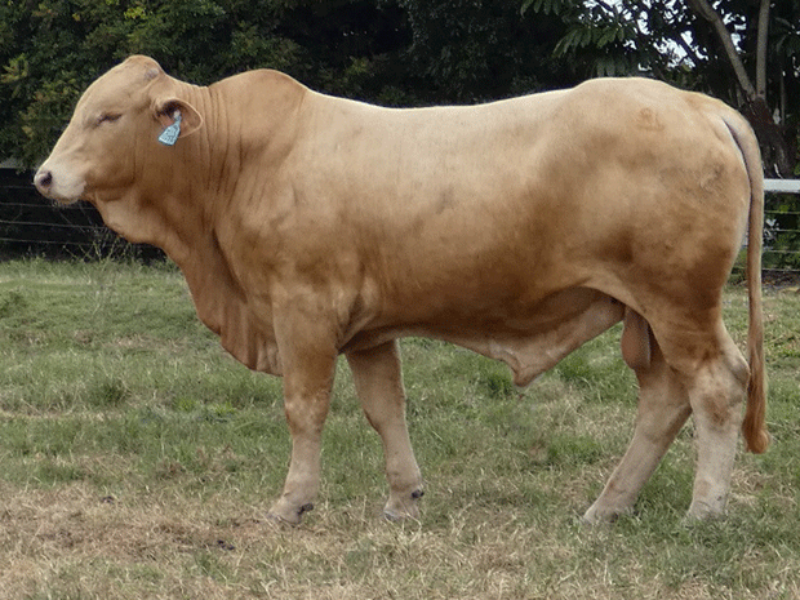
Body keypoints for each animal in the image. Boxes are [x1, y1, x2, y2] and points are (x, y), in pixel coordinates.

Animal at [35, 55, 767, 525]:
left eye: (107, 116)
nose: (44, 176)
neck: (236, 162)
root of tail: (695, 103)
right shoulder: (368, 329)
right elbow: (385, 410)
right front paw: (401, 500)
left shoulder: (303, 309)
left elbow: (305, 409)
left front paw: (292, 503)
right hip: (648, 314)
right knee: (665, 399)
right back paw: (606, 508)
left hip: (679, 302)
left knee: (717, 385)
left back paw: (704, 511)